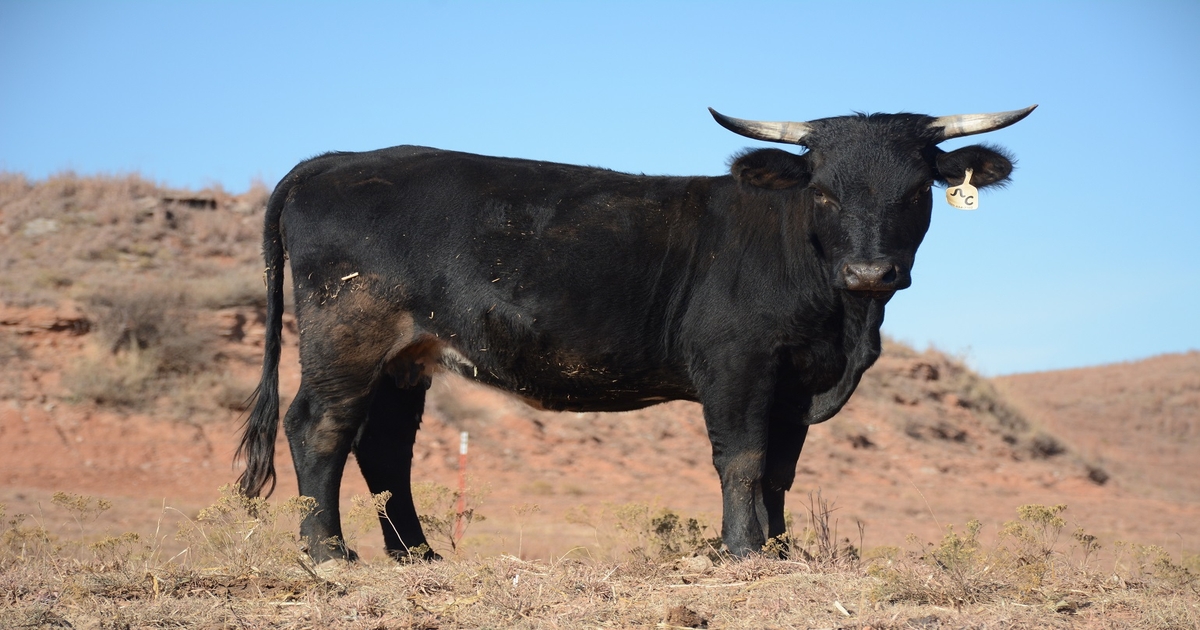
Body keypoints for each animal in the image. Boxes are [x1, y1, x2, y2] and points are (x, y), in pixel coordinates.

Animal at [236, 105, 1036, 561]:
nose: (870, 270)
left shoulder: (797, 380)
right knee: (320, 427)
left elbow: (779, 469)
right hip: (348, 334)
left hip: (409, 354)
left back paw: (417, 557)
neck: (844, 324)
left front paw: (782, 552)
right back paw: (328, 554)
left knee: (384, 448)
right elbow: (742, 459)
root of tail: (331, 161)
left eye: (916, 192)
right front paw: (742, 552)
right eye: (825, 191)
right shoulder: (736, 366)